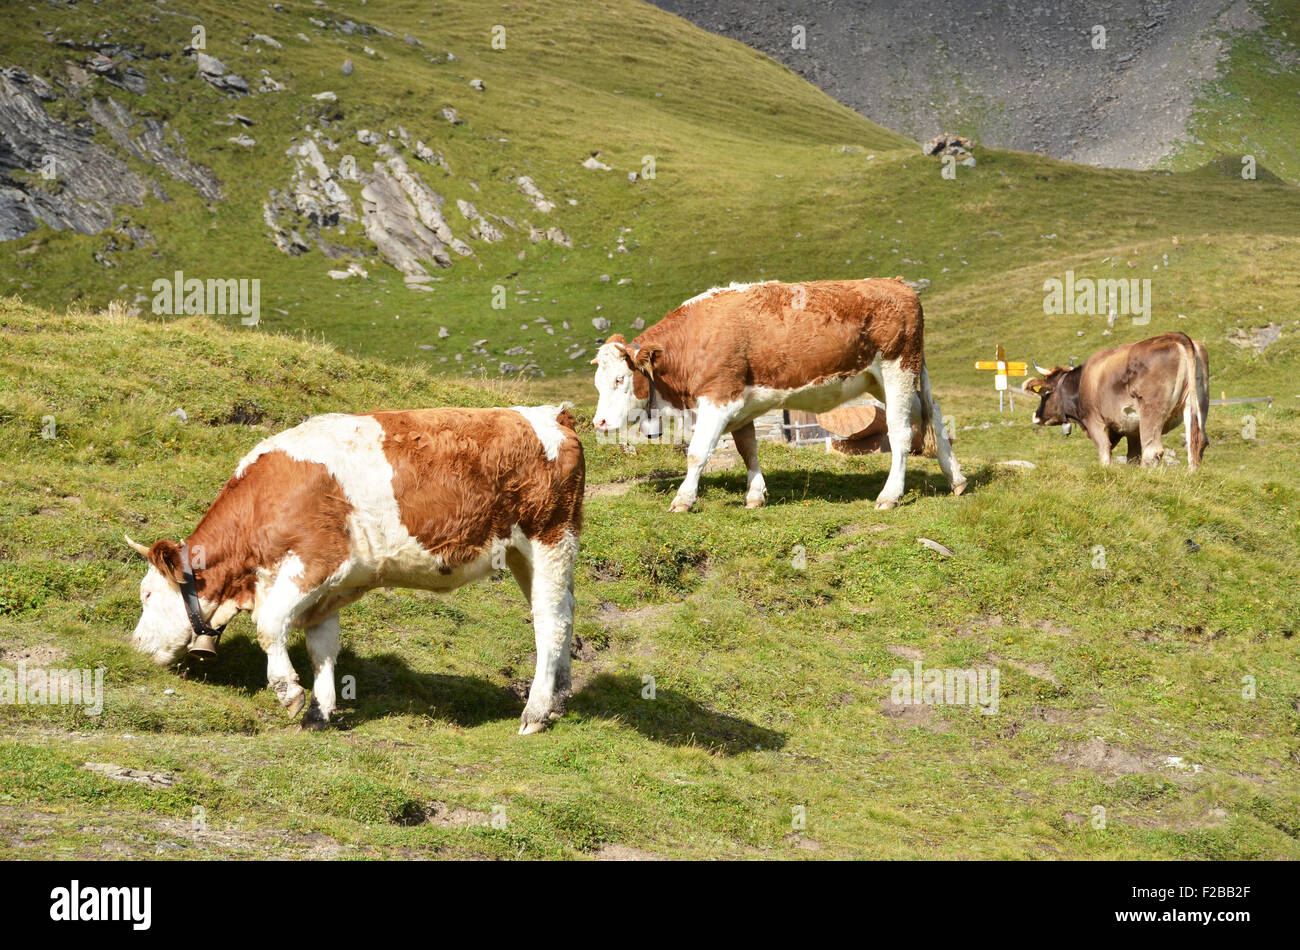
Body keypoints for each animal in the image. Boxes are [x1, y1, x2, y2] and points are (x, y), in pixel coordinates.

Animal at [126, 406, 584, 735]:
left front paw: (289, 692)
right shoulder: (327, 590)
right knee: (565, 611)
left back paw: (535, 712)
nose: (135, 645)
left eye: (147, 594)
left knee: (550, 622)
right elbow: (322, 647)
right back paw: (560, 699)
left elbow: (270, 626)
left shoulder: (318, 560)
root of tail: (555, 415)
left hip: (551, 538)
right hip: (525, 555)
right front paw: (320, 711)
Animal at [590, 279, 966, 511]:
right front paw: (755, 495)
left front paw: (684, 499)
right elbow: (748, 449)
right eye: (598, 382)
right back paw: (957, 479)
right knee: (932, 413)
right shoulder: (739, 403)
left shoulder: (718, 398)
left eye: (620, 379)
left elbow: (697, 453)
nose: (600, 422)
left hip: (898, 369)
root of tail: (897, 283)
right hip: (879, 379)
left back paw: (890, 495)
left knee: (900, 432)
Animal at [1022, 332, 1209, 470]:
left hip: (1151, 411)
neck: (1082, 382)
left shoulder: (1095, 421)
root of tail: (1176, 336)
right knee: (1197, 444)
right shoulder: (1132, 431)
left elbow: (1105, 454)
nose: (1036, 415)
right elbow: (1132, 457)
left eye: (1045, 394)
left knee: (1152, 450)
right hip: (1197, 405)